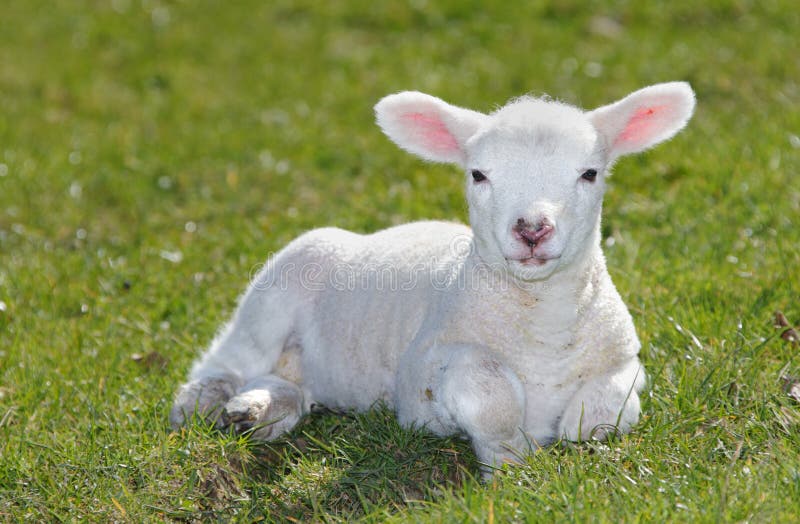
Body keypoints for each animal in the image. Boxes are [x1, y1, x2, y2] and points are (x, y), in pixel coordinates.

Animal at [170, 82, 696, 473]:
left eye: (590, 173)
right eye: (478, 174)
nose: (531, 229)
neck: (544, 330)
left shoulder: (627, 361)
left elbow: (603, 413)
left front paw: (570, 432)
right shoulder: (420, 378)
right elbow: (490, 392)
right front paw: (509, 460)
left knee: (293, 385)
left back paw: (257, 410)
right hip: (276, 290)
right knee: (228, 357)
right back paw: (203, 402)